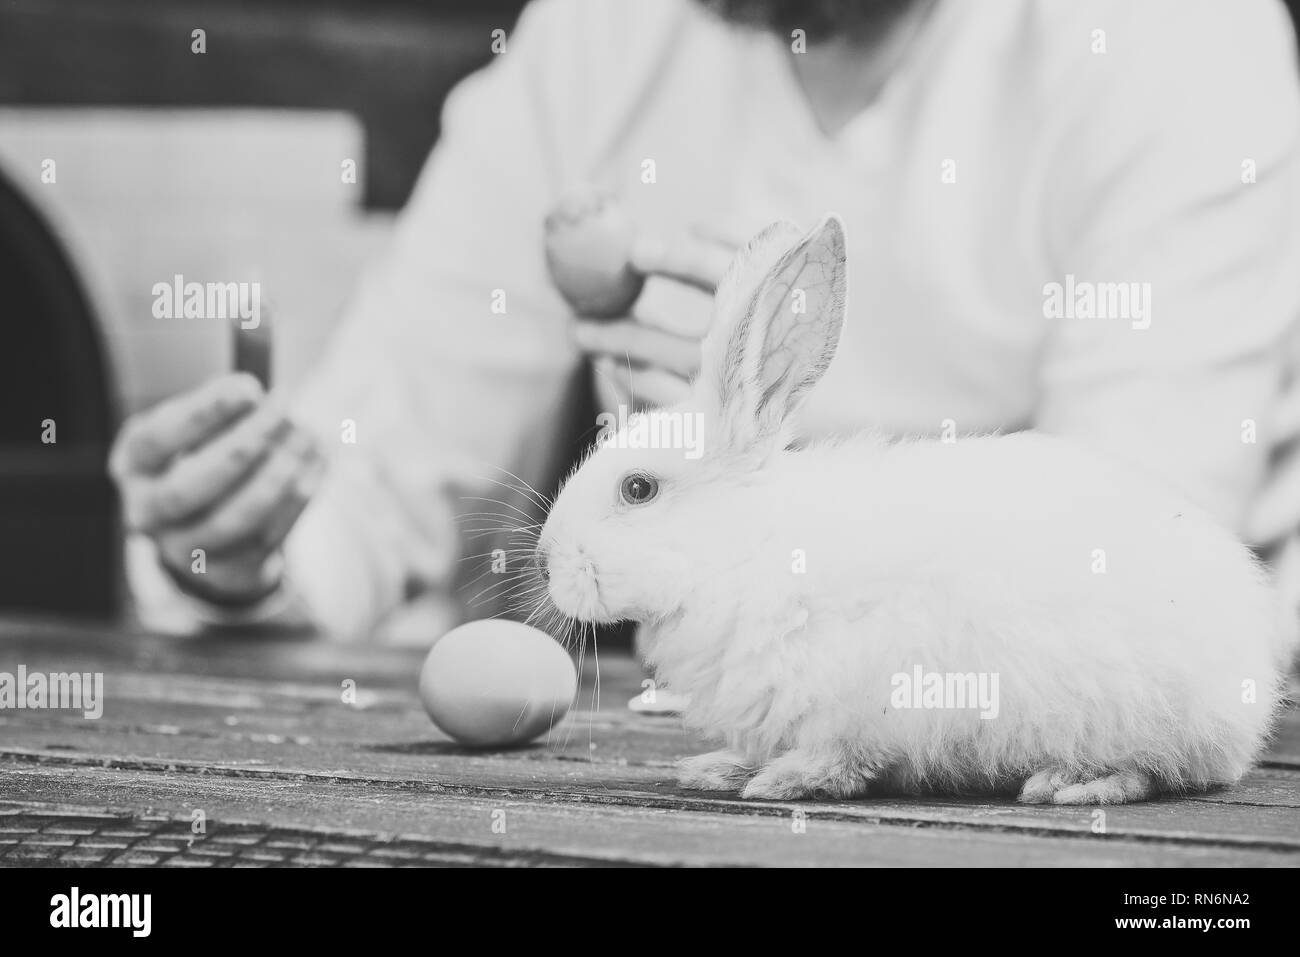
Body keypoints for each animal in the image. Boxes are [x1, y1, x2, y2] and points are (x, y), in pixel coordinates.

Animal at [534, 215, 1292, 804]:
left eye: (638, 489)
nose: (544, 561)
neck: (739, 551)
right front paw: (718, 768)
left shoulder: (857, 701)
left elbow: (841, 757)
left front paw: (783, 781)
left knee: (1155, 772)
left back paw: (1070, 783)